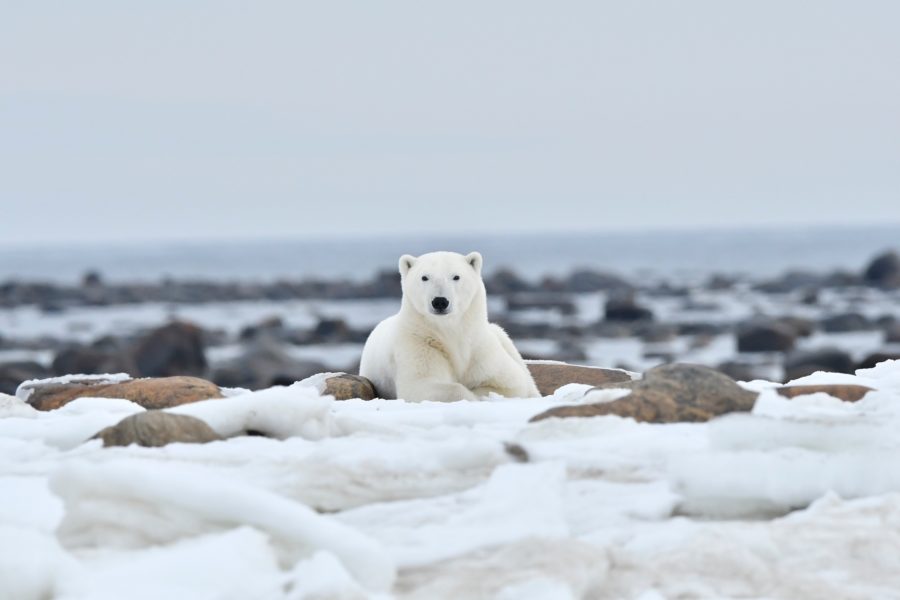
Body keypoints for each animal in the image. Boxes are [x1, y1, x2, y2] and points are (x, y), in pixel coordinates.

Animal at [359, 251, 541, 402]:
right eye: (424, 277)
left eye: (456, 276)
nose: (440, 301)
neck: (451, 331)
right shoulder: (420, 343)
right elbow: (422, 384)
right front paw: (471, 396)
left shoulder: (479, 349)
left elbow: (512, 383)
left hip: (498, 335)